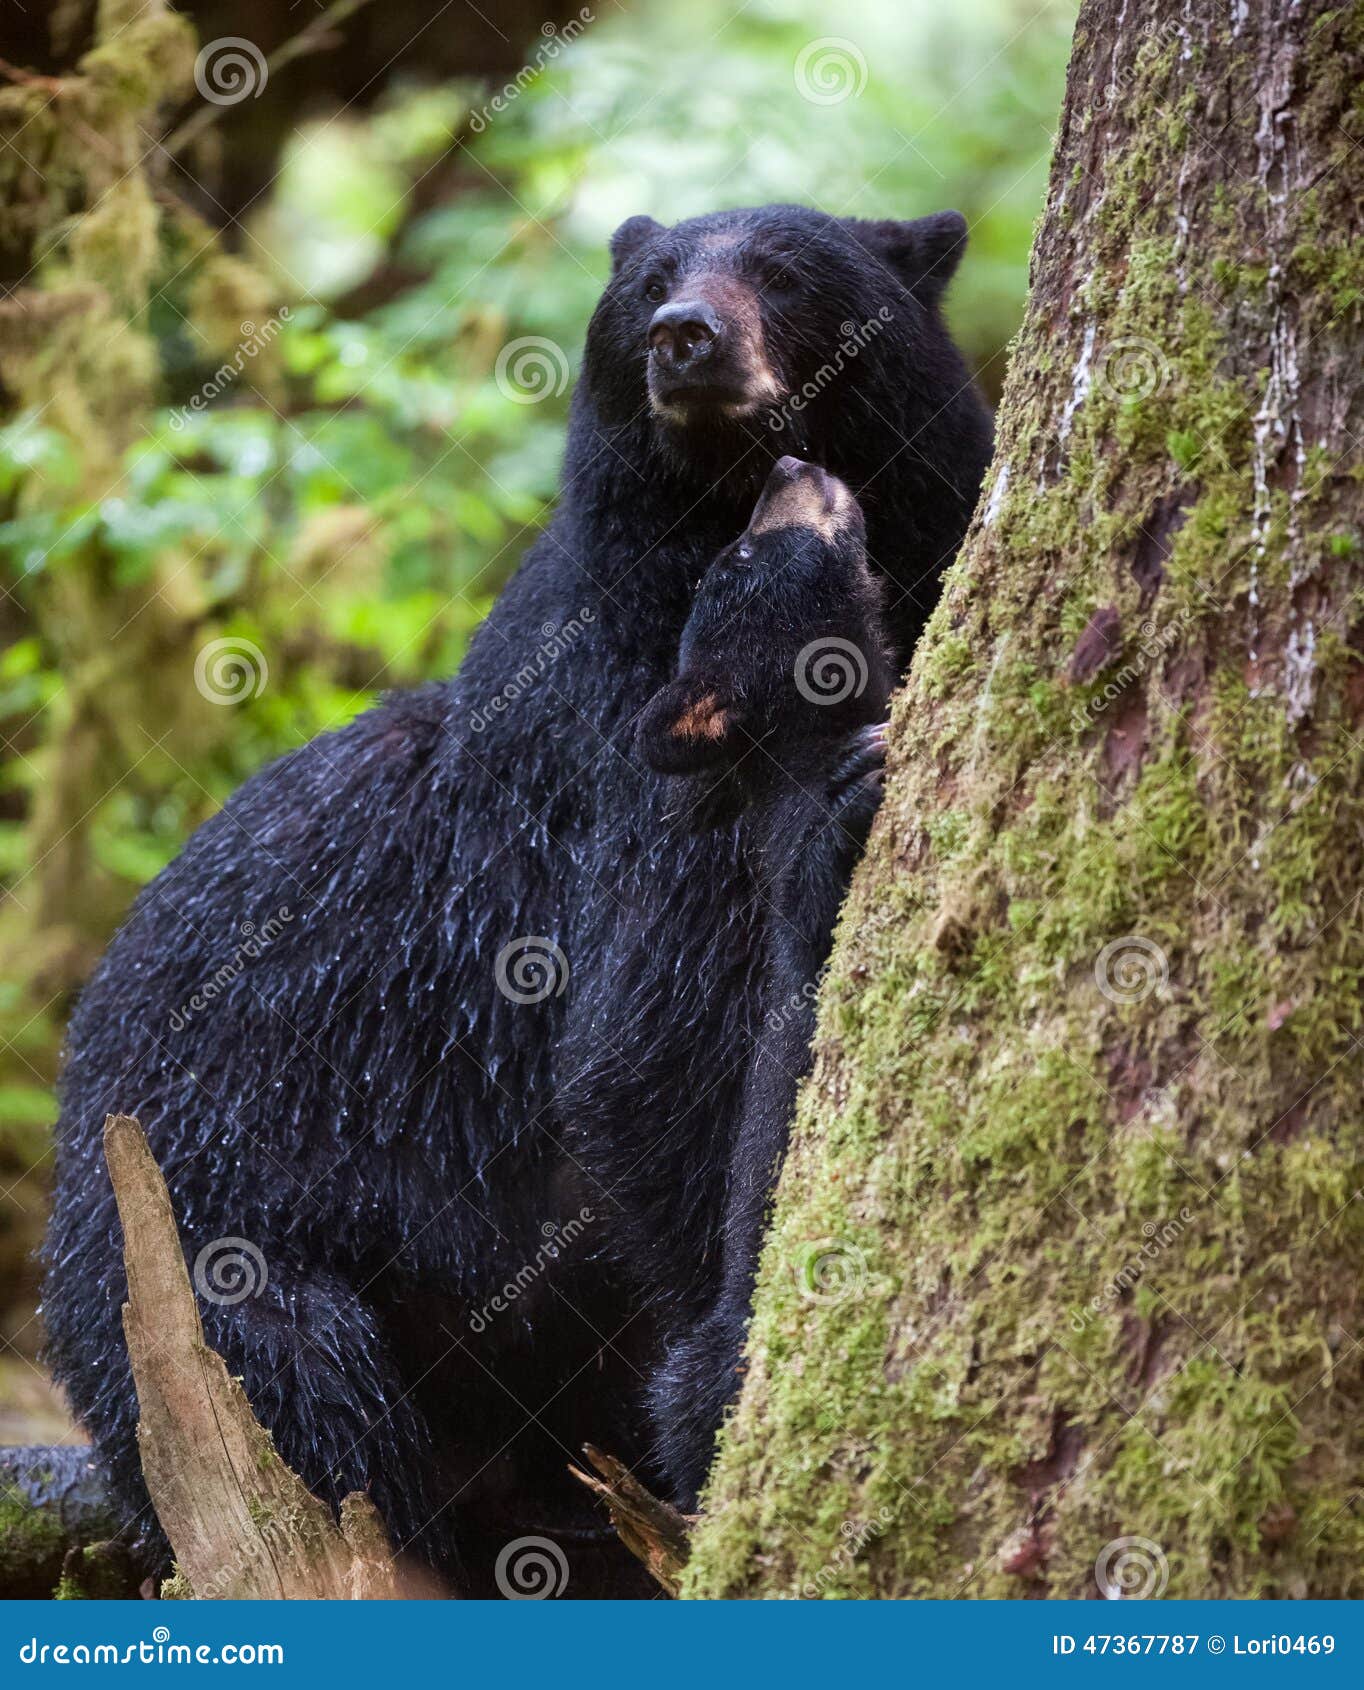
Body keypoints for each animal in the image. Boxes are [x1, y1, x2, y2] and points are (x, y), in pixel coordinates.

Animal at [42, 203, 992, 1597]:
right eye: (649, 283)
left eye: (784, 270)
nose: (683, 336)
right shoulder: (603, 782)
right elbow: (645, 1052)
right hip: (188, 1251)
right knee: (304, 1396)